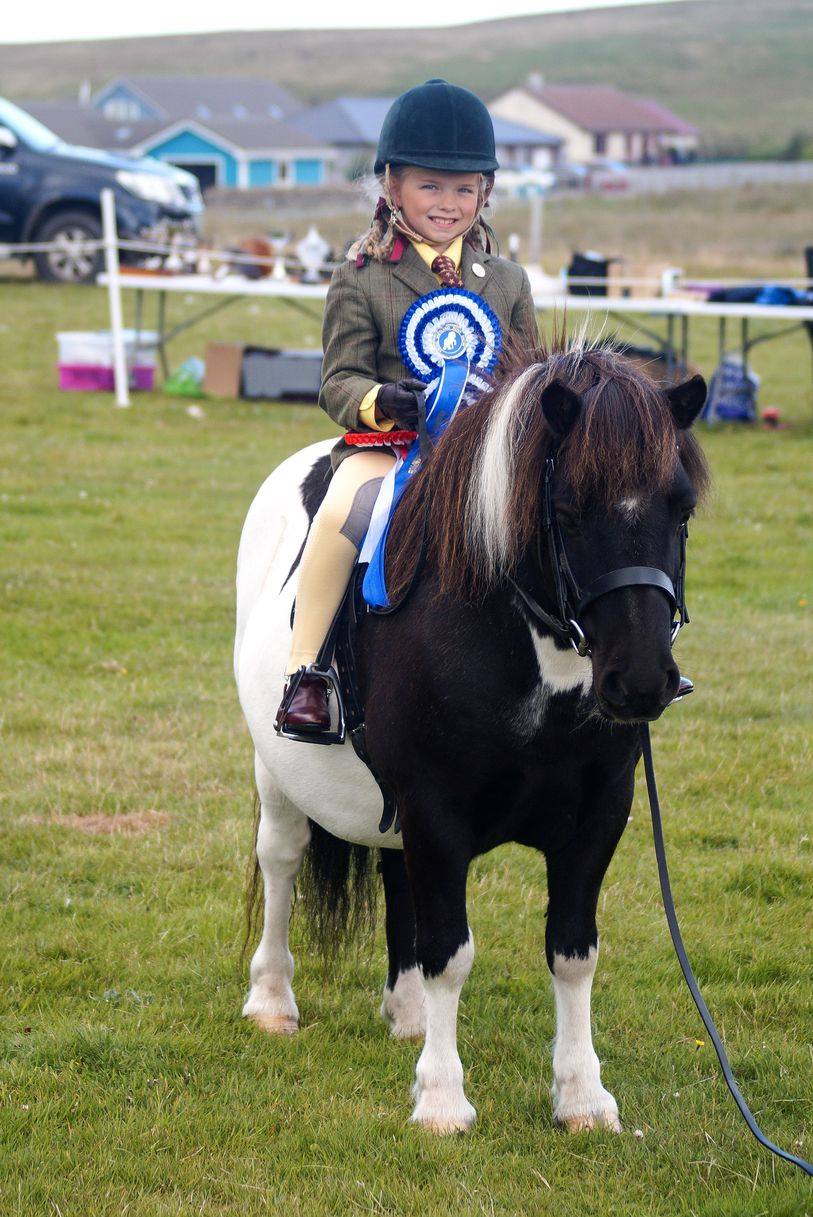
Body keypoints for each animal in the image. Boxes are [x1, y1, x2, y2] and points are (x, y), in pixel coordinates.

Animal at [234, 336, 709, 1135]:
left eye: (682, 506)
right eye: (567, 508)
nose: (641, 680)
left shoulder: (597, 817)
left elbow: (572, 951)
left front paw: (583, 1096)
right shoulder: (438, 813)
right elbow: (449, 952)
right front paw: (442, 1100)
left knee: (396, 876)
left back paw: (407, 1013)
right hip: (279, 772)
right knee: (283, 860)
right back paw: (272, 1000)